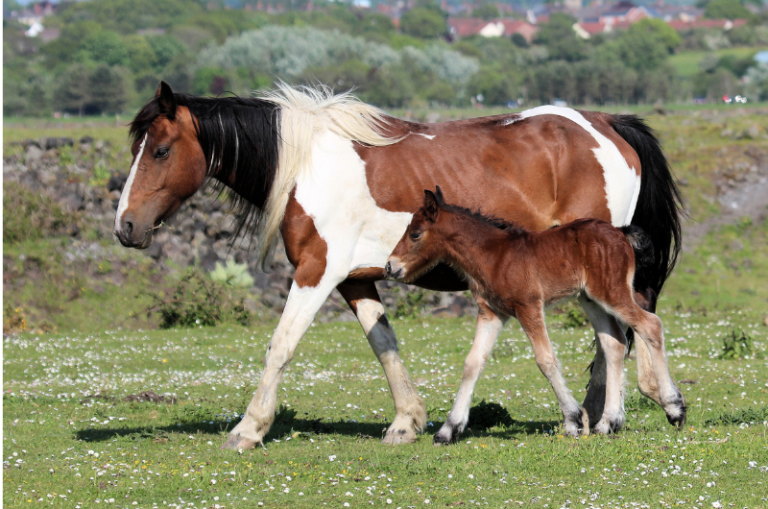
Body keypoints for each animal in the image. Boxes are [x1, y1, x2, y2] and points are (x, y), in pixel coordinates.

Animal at [386, 187, 686, 441]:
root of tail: (621, 233)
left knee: (650, 325)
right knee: (614, 343)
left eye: (415, 233)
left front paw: (572, 420)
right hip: (590, 298)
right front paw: (448, 430)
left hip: (611, 293)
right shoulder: (491, 313)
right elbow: (472, 363)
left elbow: (546, 360)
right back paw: (607, 423)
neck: (494, 256)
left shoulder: (528, 306)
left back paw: (674, 409)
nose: (390, 266)